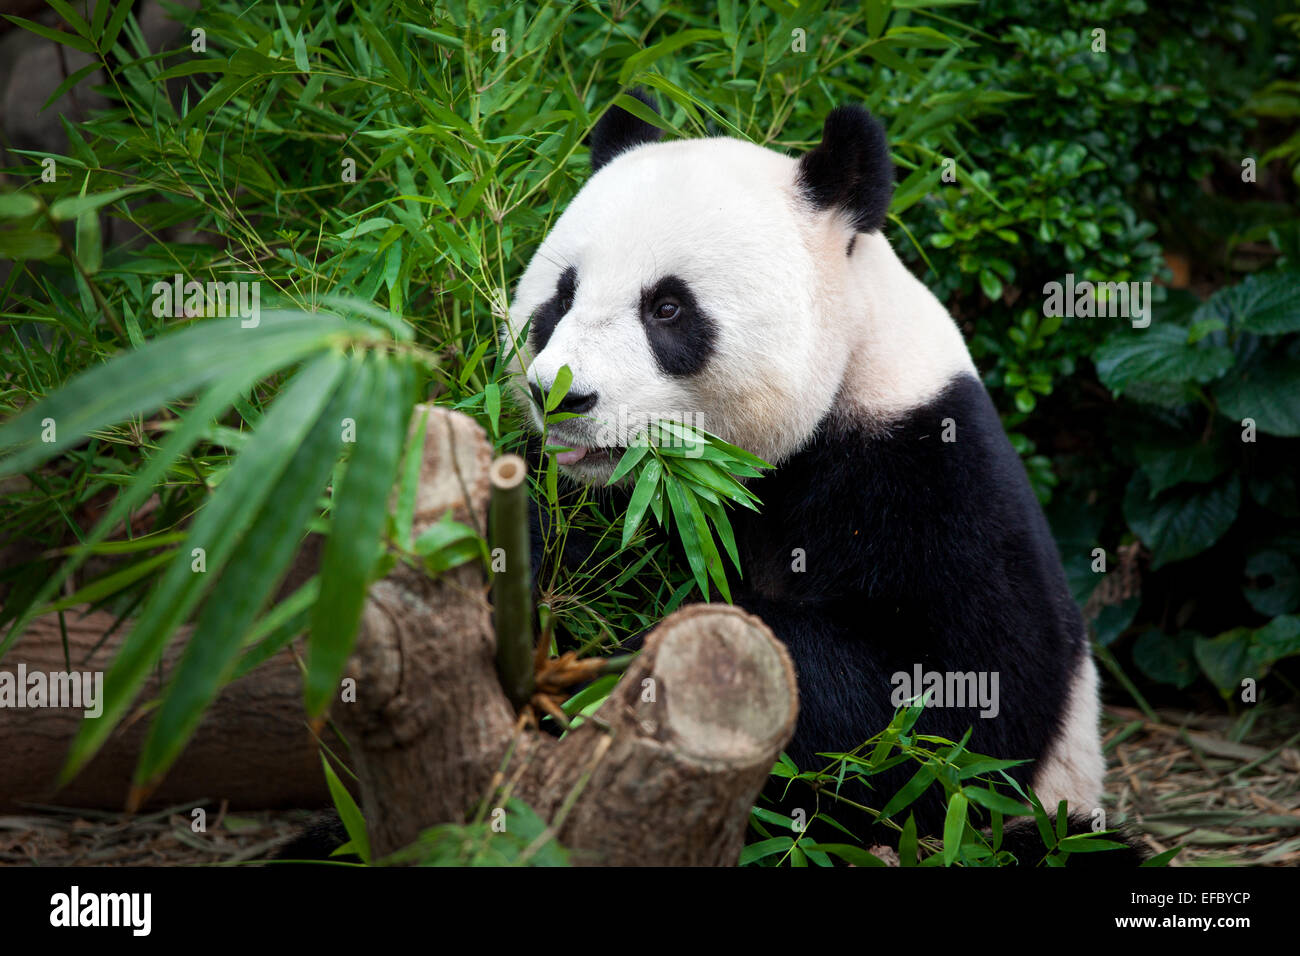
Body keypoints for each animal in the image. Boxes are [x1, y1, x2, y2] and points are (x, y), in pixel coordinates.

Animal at [504, 91, 1140, 864]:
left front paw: (625, 675)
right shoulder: (645, 503)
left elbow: (951, 707)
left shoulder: (930, 474)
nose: (561, 396)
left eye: (668, 308)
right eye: (560, 298)